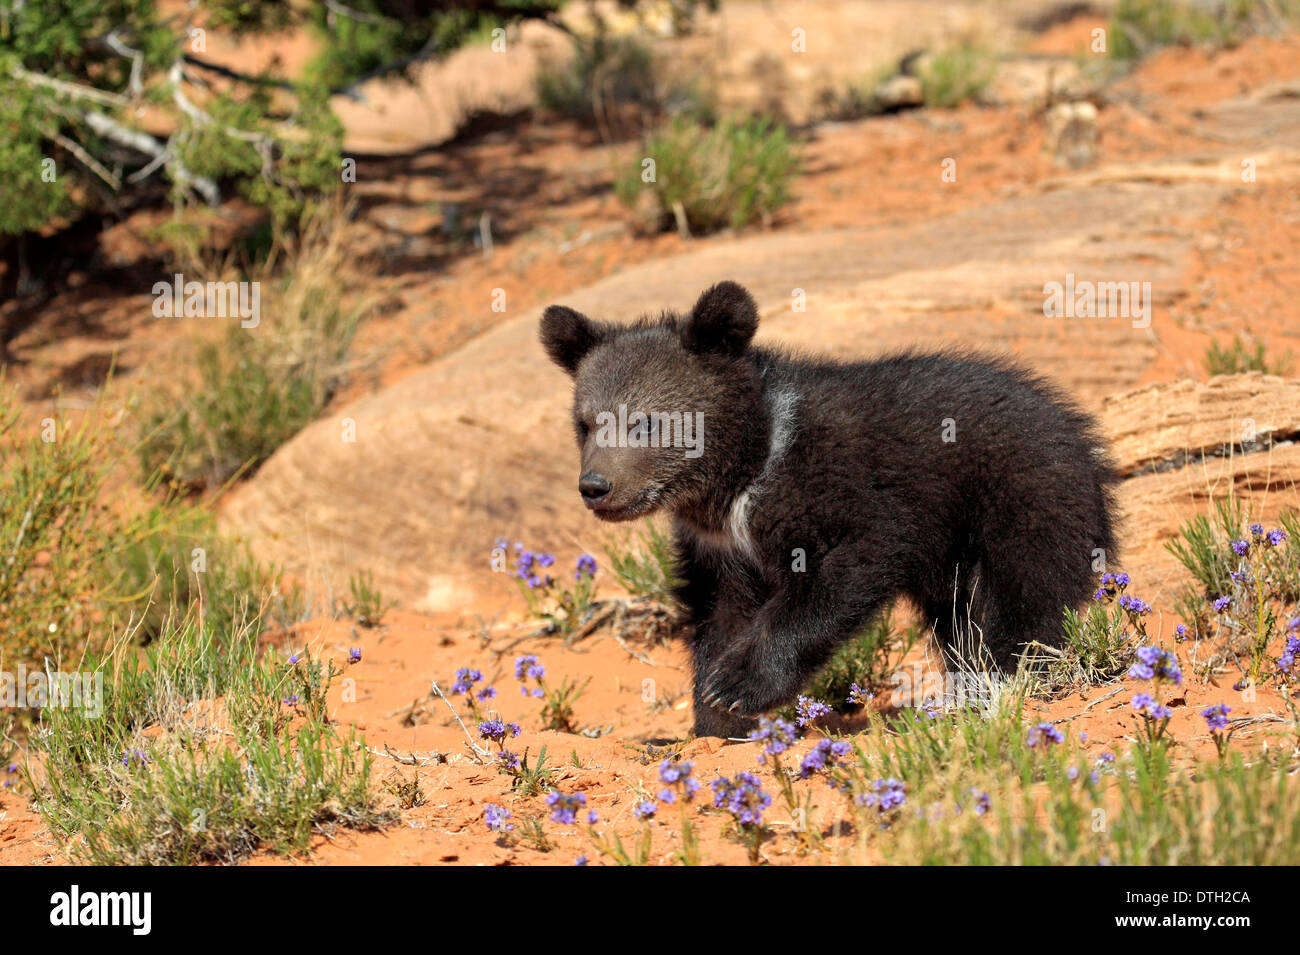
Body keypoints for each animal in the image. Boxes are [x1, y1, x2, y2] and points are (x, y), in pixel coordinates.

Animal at [540, 281, 1119, 738]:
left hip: (1020, 497)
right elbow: (719, 615)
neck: (742, 474)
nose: (595, 486)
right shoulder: (720, 550)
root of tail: (1083, 440)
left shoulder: (841, 492)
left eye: (647, 421)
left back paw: (999, 682)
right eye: (586, 423)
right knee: (961, 620)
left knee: (1021, 599)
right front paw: (714, 720)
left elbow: (852, 562)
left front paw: (739, 684)